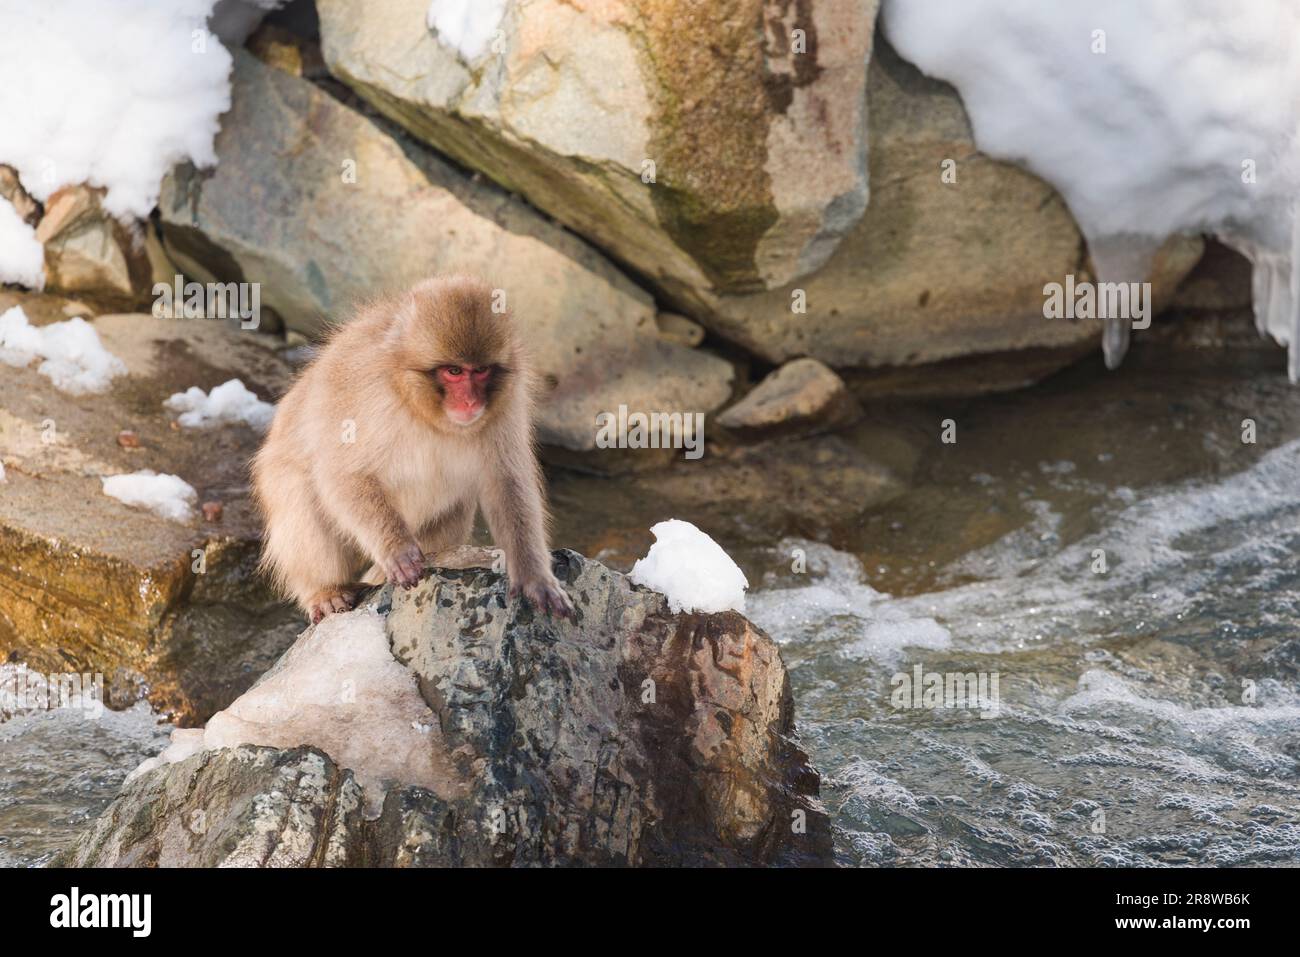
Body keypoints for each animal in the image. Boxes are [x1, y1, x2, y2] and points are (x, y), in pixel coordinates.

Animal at [251, 275, 574, 625]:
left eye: (480, 371)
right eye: (454, 371)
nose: (470, 402)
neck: (421, 407)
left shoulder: (507, 404)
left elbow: (507, 484)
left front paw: (533, 577)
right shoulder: (367, 393)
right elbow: (344, 473)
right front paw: (397, 548)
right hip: (280, 482)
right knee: (303, 503)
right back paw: (325, 589)